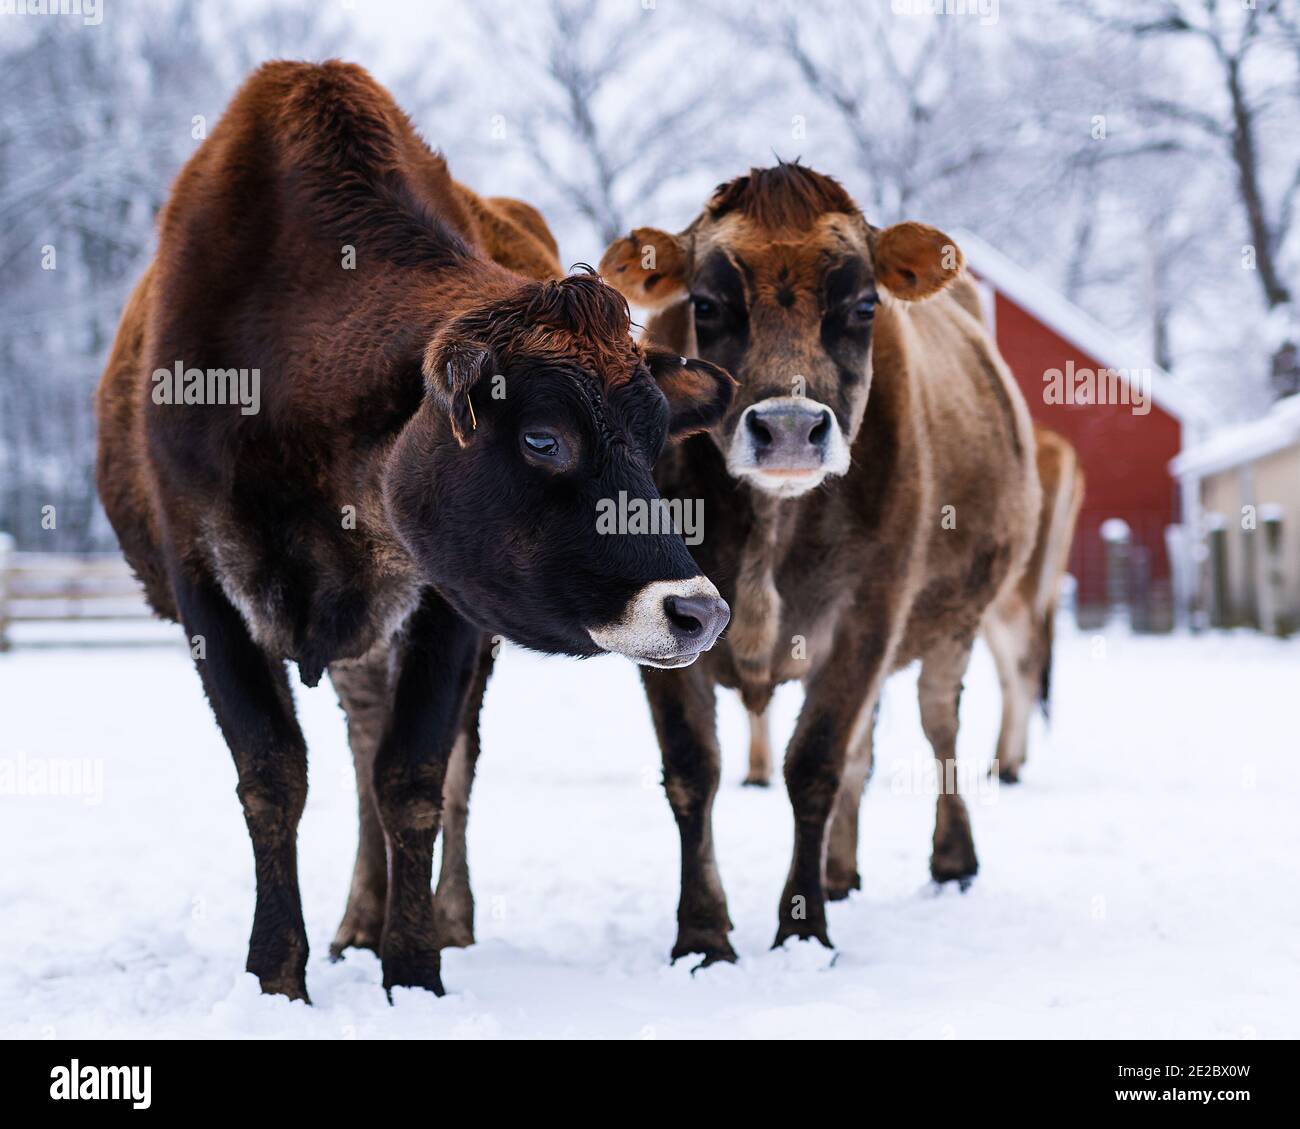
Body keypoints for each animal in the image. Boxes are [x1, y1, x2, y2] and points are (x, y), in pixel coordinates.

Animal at [95, 60, 734, 1001]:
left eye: (656, 442)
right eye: (544, 438)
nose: (698, 610)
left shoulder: (445, 601)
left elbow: (416, 776)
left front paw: (417, 969)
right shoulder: (201, 577)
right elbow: (272, 773)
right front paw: (276, 975)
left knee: (432, 764)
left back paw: (440, 919)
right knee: (360, 749)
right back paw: (357, 922)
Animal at [598, 162, 1041, 961]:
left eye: (863, 304)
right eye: (707, 303)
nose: (788, 428)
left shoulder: (869, 616)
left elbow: (815, 766)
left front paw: (801, 931)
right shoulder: (655, 612)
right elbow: (693, 769)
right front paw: (702, 934)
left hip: (955, 622)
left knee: (938, 724)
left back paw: (951, 859)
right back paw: (839, 871)